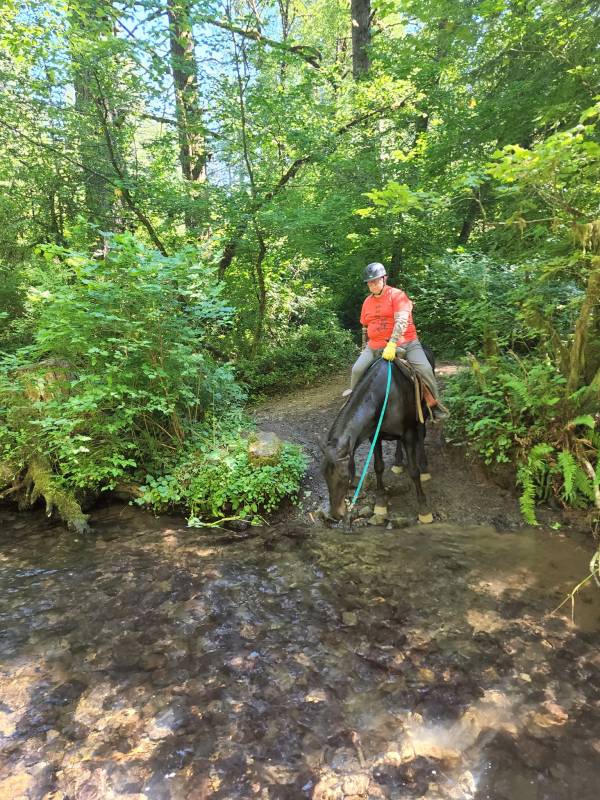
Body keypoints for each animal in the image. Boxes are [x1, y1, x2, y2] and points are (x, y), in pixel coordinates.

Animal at [320, 357, 433, 524]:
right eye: (323, 474)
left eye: (345, 476)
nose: (335, 514)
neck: (385, 397)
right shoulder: (375, 436)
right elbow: (378, 466)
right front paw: (380, 503)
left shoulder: (408, 434)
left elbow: (414, 471)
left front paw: (424, 509)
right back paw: (398, 463)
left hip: (421, 417)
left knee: (421, 436)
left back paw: (424, 468)